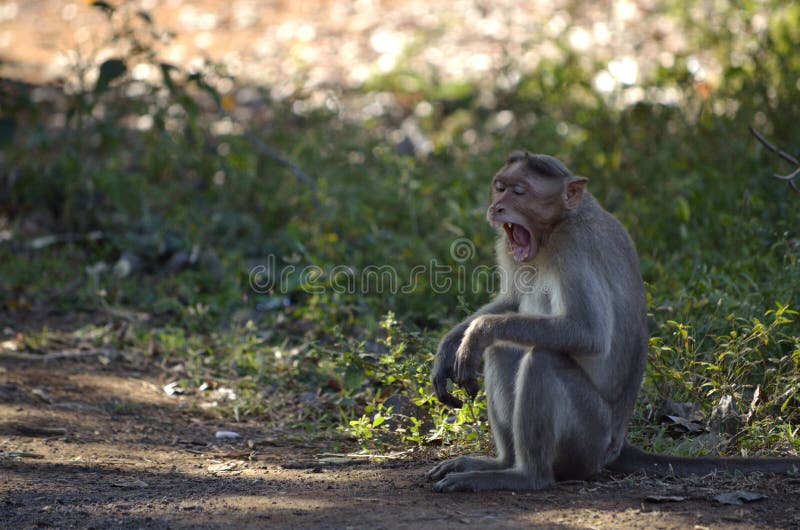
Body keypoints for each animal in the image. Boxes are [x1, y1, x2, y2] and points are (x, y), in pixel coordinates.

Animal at [428, 151, 800, 492]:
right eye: (500, 187)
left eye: (519, 192)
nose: (497, 207)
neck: (555, 227)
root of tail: (617, 445)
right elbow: (512, 302)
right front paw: (452, 344)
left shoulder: (574, 247)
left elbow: (588, 333)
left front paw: (479, 332)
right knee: (505, 350)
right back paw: (502, 463)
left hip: (589, 437)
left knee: (542, 359)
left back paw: (526, 477)